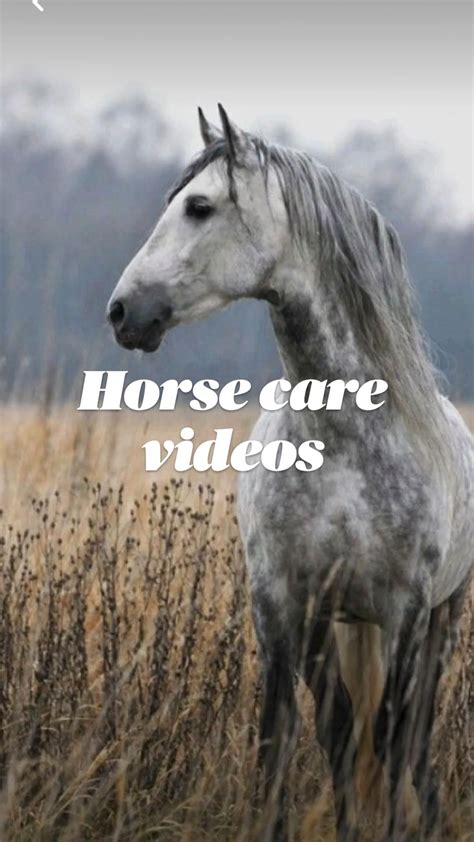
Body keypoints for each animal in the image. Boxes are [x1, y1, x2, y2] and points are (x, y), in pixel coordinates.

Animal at [107, 105, 474, 841]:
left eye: (199, 206)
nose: (123, 313)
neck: (343, 446)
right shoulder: (283, 607)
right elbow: (286, 738)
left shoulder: (407, 612)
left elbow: (392, 740)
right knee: (343, 735)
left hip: (442, 622)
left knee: (412, 743)